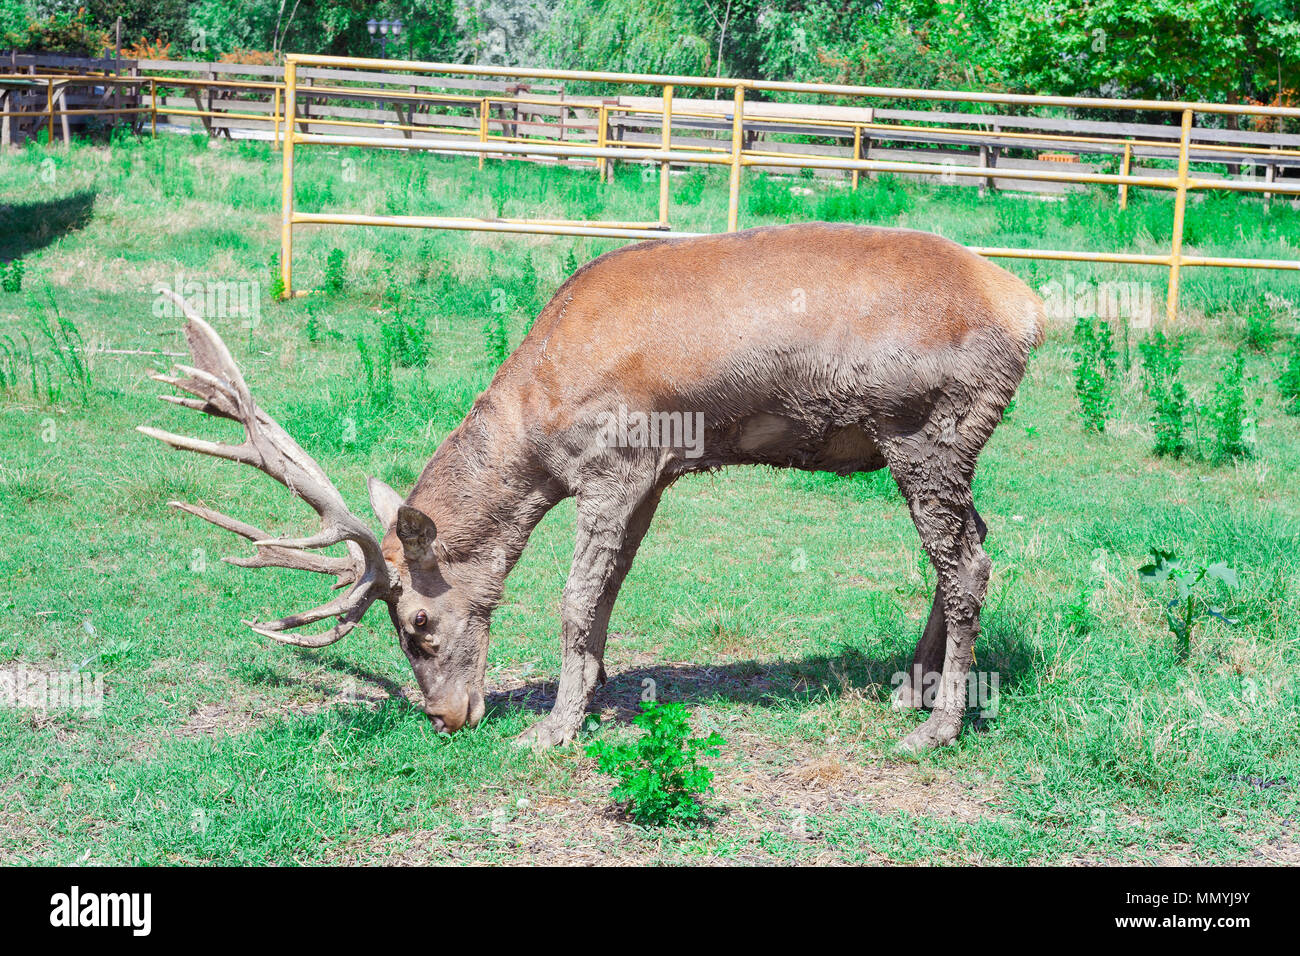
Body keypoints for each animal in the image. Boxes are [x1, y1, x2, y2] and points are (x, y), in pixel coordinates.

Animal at [139, 222, 1043, 753]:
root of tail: (1033, 309)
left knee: (969, 565)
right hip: (942, 444)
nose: (445, 717)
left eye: (418, 627)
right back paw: (907, 690)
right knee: (975, 542)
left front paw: (553, 729)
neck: (540, 423)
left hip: (923, 428)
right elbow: (609, 587)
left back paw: (938, 726)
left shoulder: (617, 461)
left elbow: (575, 596)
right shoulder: (651, 476)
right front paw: (595, 693)